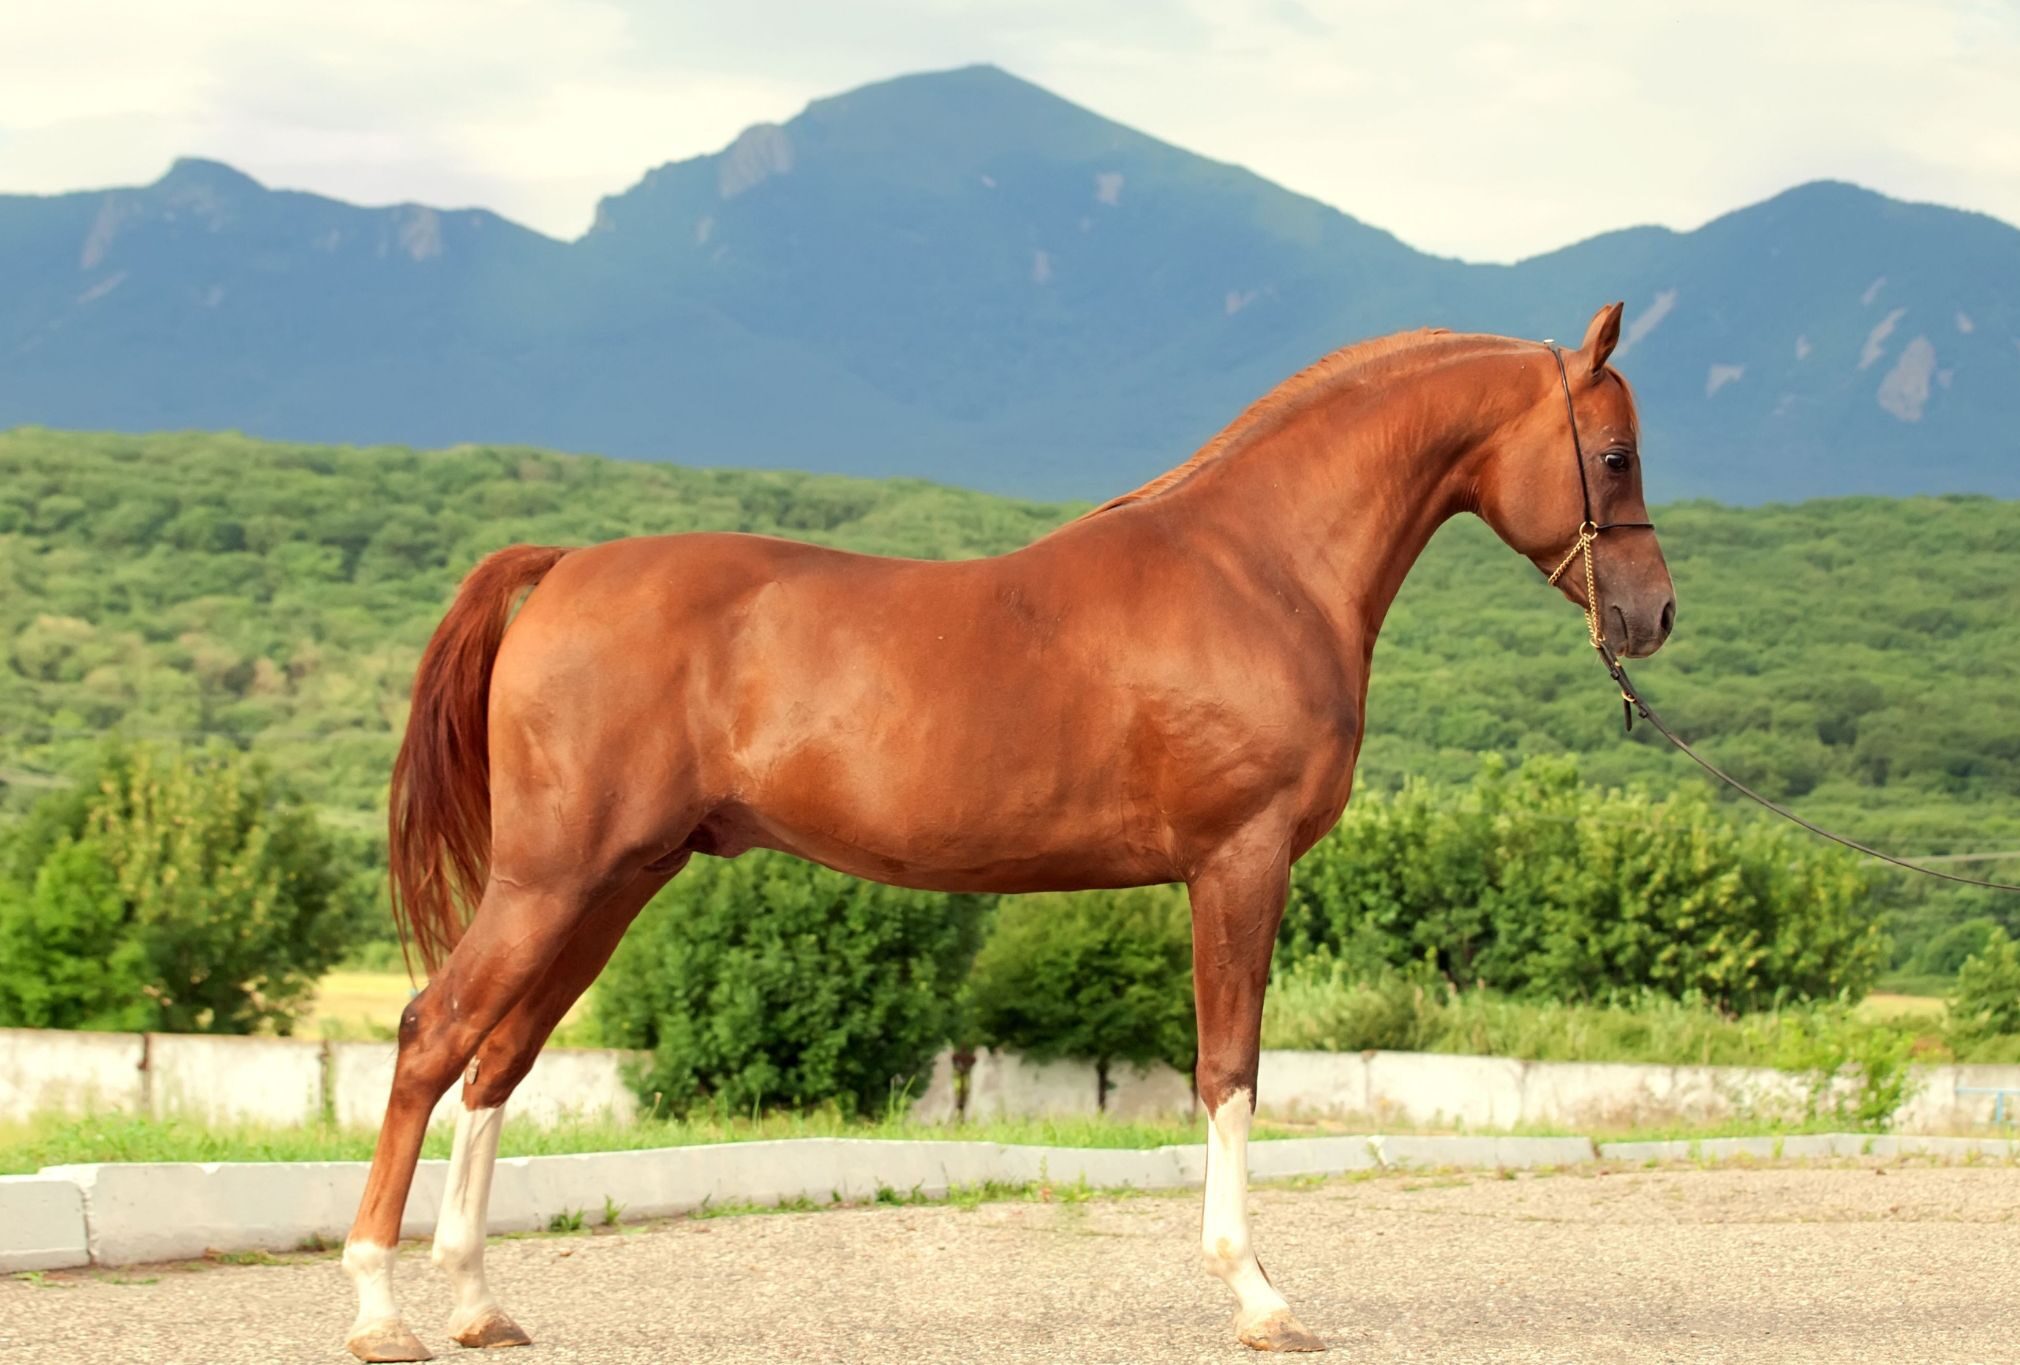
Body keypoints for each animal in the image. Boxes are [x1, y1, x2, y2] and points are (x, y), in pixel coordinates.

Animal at [341, 303, 1675, 1359]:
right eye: (1613, 453)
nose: (1654, 616)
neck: (1257, 570)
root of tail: (564, 567)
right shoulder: (1236, 864)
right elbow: (1229, 1072)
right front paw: (1258, 1299)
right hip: (551, 882)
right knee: (431, 1036)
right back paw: (379, 1312)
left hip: (613, 884)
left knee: (499, 1062)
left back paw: (476, 1307)